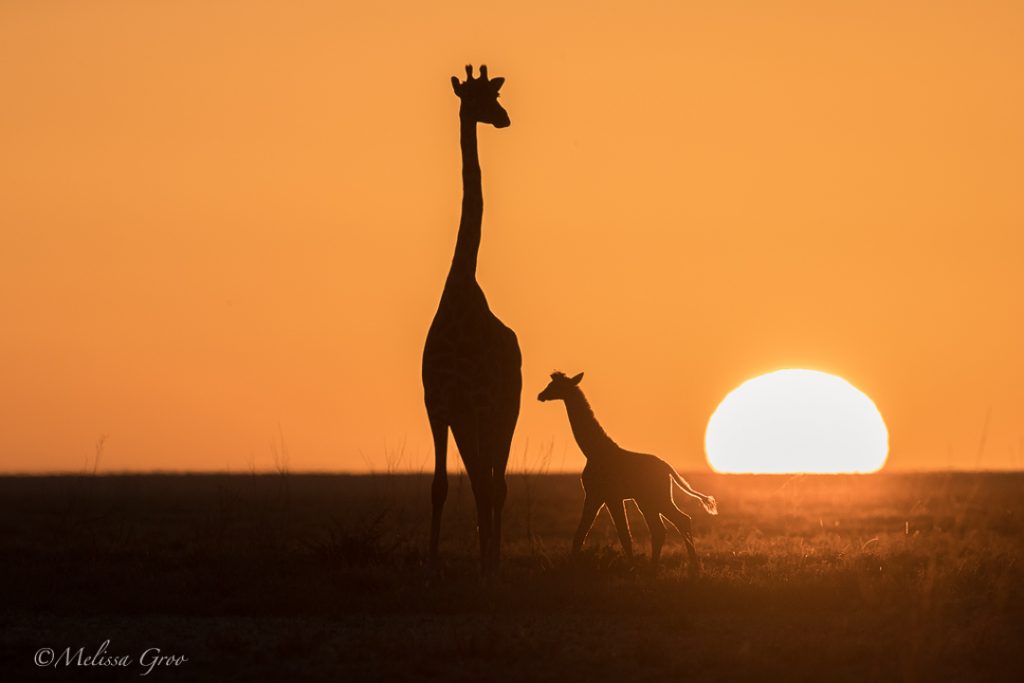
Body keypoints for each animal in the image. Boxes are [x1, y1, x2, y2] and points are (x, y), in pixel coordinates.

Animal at [538, 372, 718, 573]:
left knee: (674, 523)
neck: (592, 450)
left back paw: (683, 568)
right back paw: (663, 568)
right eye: (551, 384)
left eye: (555, 386)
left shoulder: (606, 496)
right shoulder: (599, 496)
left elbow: (622, 534)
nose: (541, 395)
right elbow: (584, 534)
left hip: (654, 498)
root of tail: (667, 468)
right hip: (649, 499)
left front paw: (631, 568)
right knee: (668, 525)